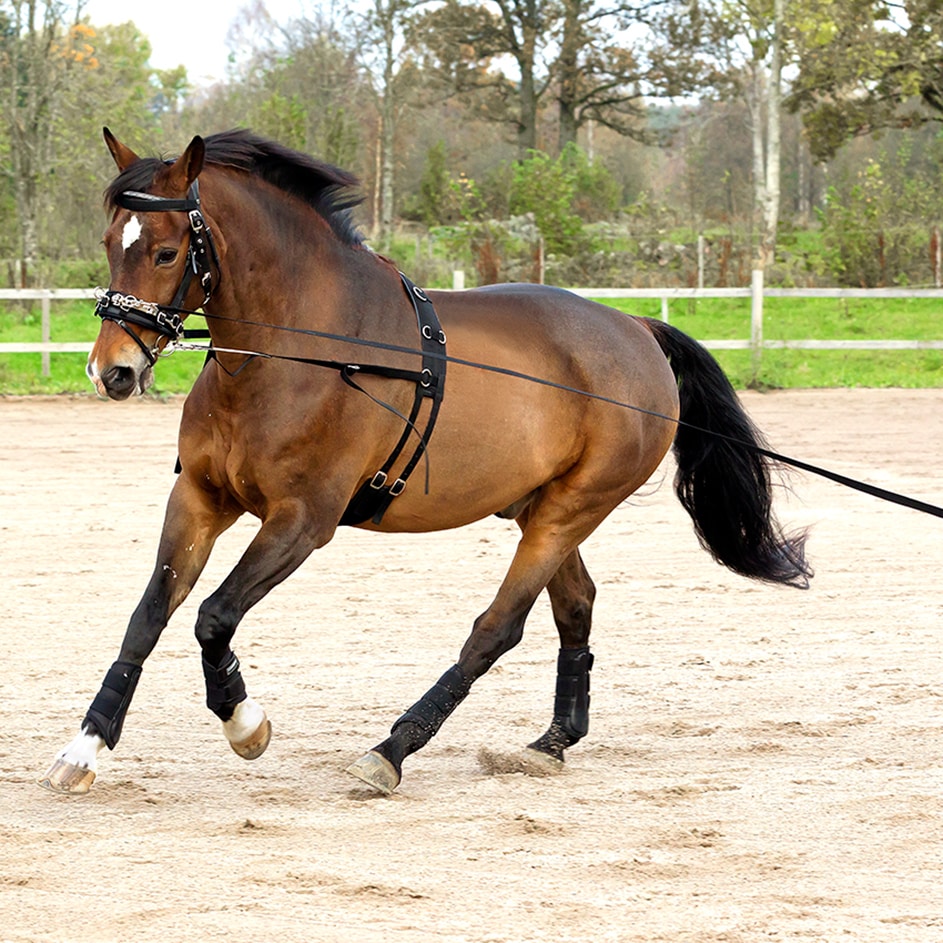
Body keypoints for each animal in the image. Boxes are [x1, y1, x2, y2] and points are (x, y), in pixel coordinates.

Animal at [40, 128, 811, 796]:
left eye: (168, 253)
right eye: (111, 242)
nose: (110, 372)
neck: (293, 351)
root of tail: (635, 329)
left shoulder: (302, 521)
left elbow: (212, 617)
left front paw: (245, 724)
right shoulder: (201, 499)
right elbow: (148, 616)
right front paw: (86, 747)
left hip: (571, 509)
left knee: (498, 628)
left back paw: (391, 750)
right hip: (542, 506)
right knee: (576, 607)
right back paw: (552, 741)